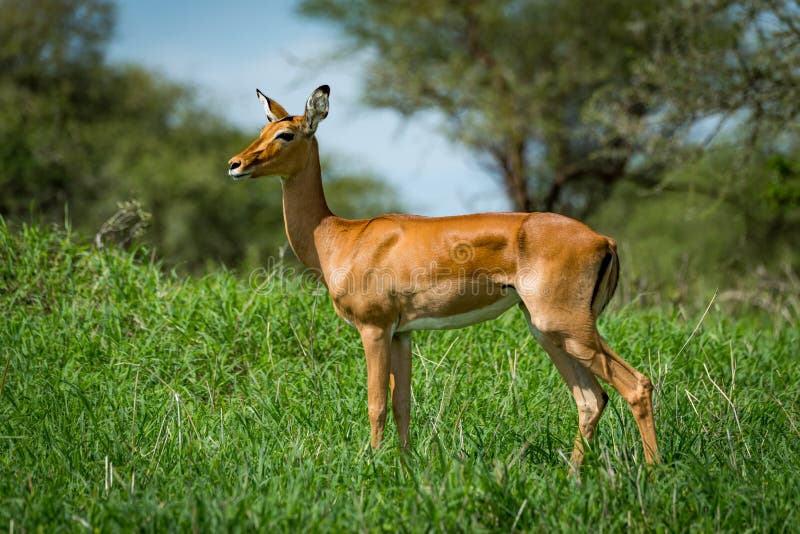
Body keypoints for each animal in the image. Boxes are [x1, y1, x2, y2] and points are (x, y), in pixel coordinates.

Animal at [227, 85, 660, 467]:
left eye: (285, 134)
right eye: (262, 131)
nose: (235, 164)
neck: (340, 237)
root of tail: (604, 240)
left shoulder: (373, 328)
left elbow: (375, 403)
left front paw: (372, 467)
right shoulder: (401, 333)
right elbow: (402, 404)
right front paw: (403, 468)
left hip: (566, 327)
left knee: (636, 385)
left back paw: (654, 471)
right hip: (549, 331)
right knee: (591, 399)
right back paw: (573, 475)